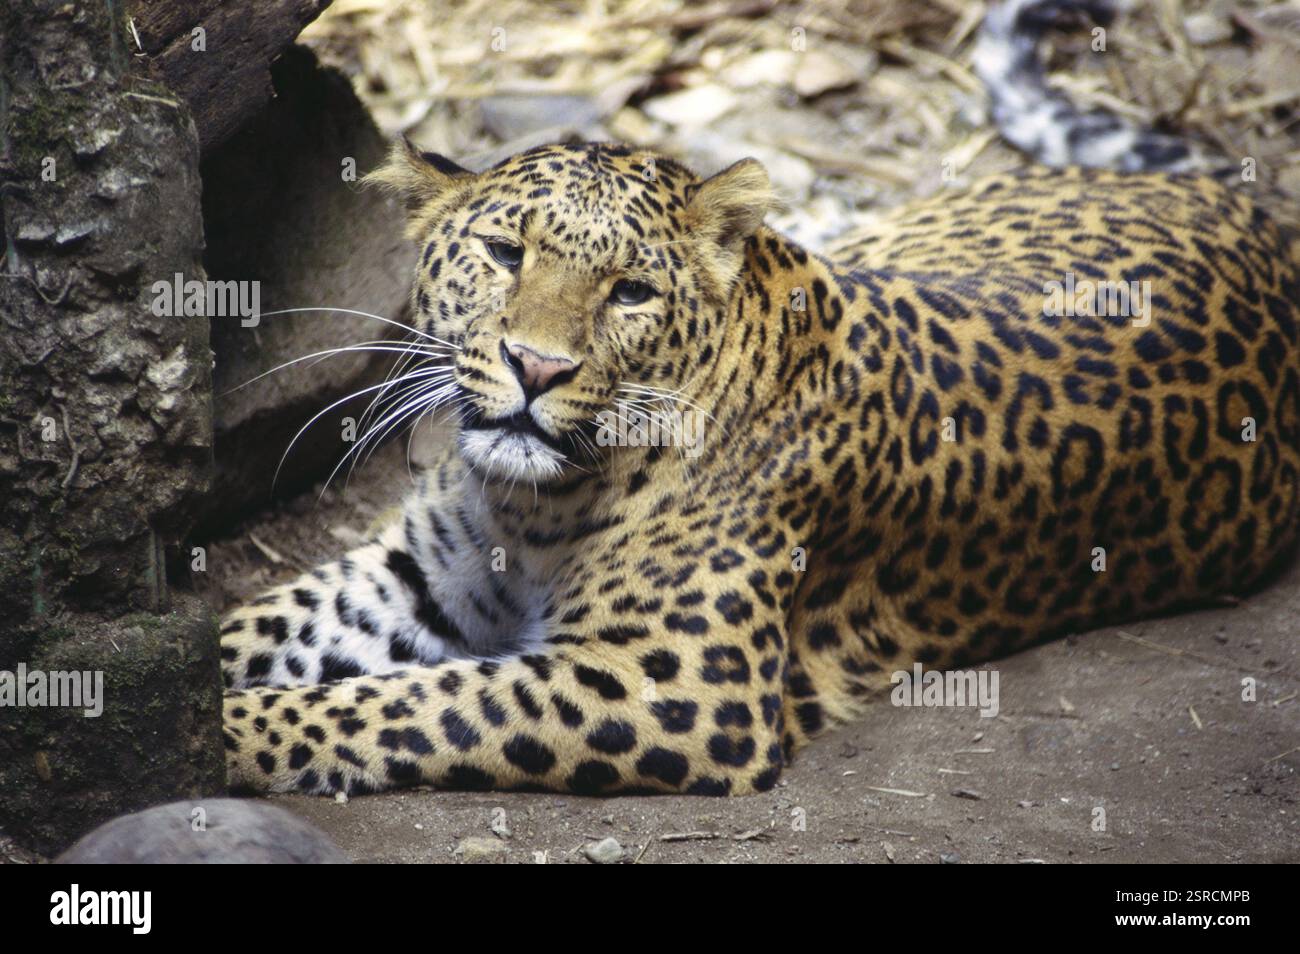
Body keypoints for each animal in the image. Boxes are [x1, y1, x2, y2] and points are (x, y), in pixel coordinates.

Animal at [219, 0, 1300, 797]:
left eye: (629, 292)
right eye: (502, 253)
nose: (537, 368)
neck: (526, 507)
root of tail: (1259, 210)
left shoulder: (675, 689)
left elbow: (407, 705)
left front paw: (227, 735)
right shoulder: (413, 576)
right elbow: (257, 629)